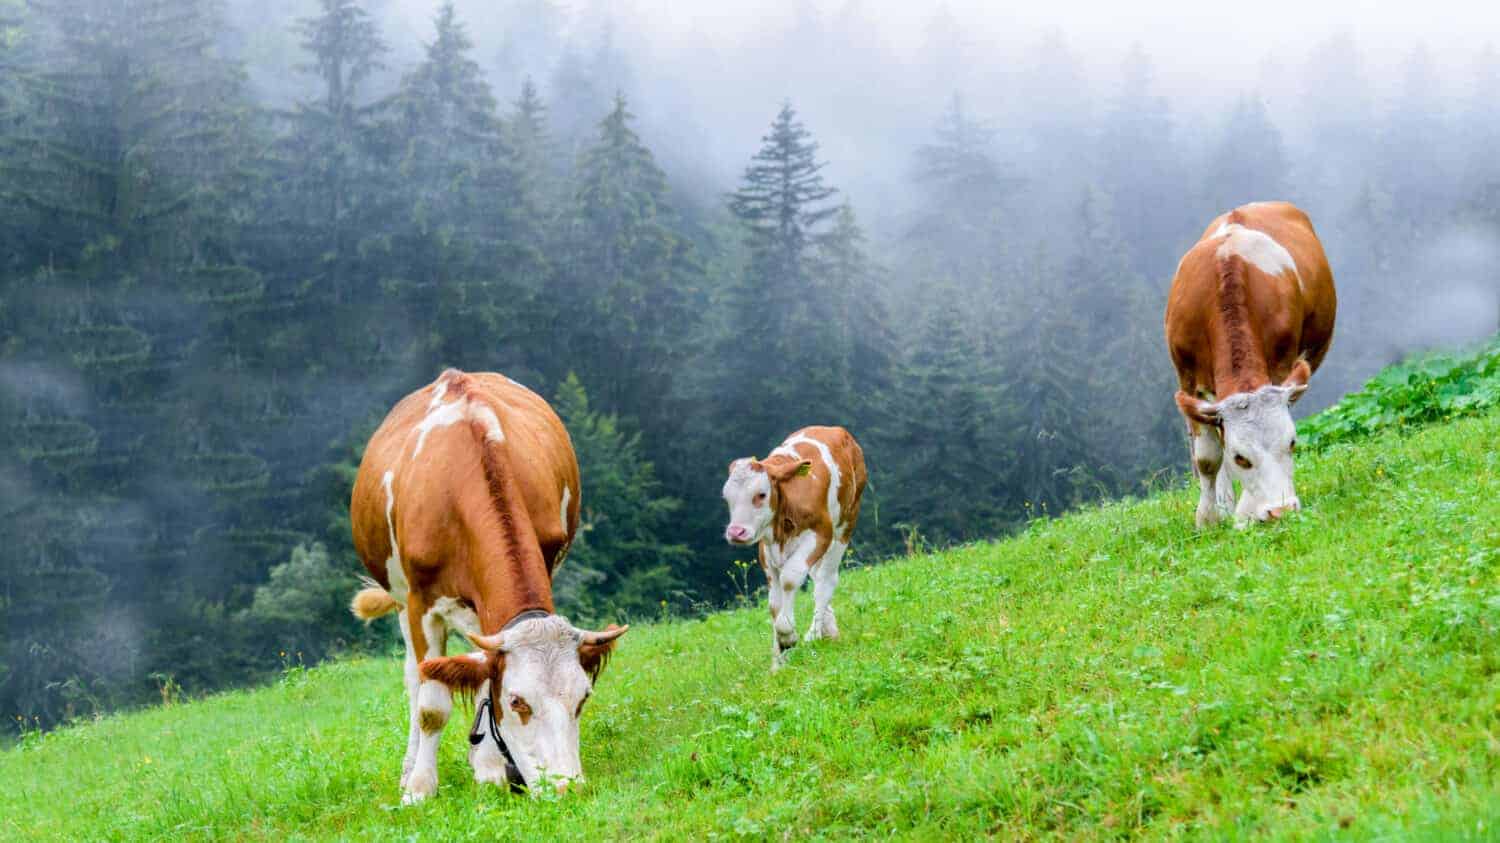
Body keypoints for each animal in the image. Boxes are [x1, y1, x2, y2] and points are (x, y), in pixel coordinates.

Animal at [348, 369, 627, 802]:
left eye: (583, 698)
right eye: (517, 702)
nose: (566, 788)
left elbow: (481, 675)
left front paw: (490, 770)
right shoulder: (421, 603)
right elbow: (431, 704)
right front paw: (420, 789)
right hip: (401, 601)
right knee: (414, 679)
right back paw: (410, 769)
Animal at [722, 426, 867, 671]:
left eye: (761, 494)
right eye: (726, 497)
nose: (736, 532)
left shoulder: (821, 533)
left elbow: (790, 579)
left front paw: (788, 637)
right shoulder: (766, 546)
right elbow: (774, 604)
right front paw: (778, 660)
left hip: (845, 525)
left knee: (826, 580)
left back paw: (814, 634)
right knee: (817, 576)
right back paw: (829, 628)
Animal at [1165, 201, 1337, 527]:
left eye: (1292, 443)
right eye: (1241, 457)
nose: (1281, 511)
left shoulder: (1281, 365)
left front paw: (1245, 512)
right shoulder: (1188, 379)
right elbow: (1208, 457)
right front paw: (1208, 517)